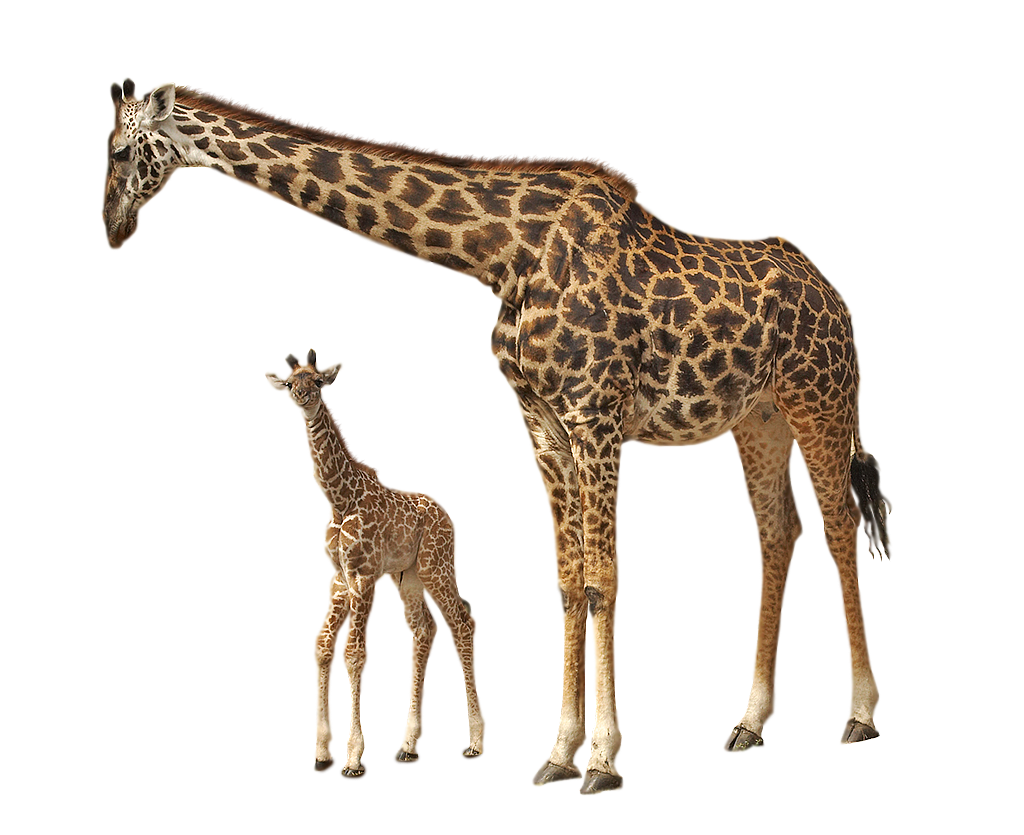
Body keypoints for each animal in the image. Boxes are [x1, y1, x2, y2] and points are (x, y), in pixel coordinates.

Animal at [264, 350, 486, 779]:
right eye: (291, 382)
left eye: (318, 381)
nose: (302, 398)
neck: (338, 499)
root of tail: (447, 515)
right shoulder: (338, 578)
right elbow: (322, 645)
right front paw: (321, 753)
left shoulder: (364, 577)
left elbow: (354, 654)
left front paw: (353, 759)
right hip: (408, 577)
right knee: (425, 629)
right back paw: (408, 746)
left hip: (436, 566)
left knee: (462, 621)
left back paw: (476, 741)